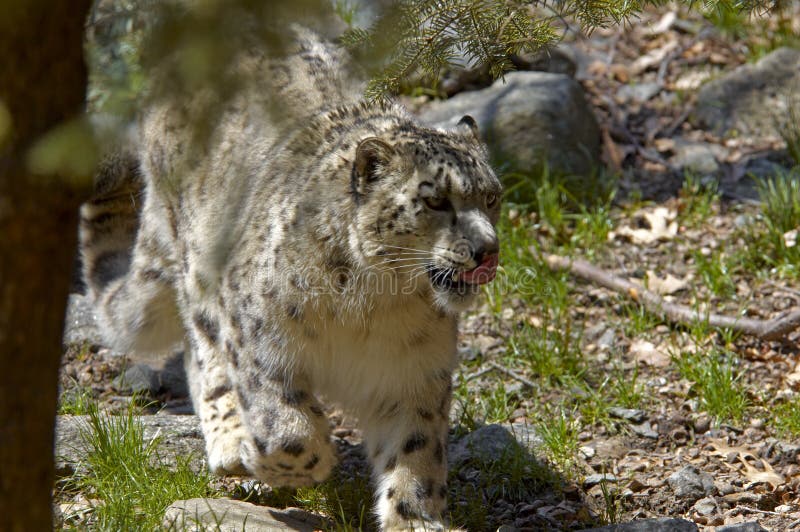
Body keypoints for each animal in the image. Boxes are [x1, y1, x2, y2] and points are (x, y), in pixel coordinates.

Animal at [80, 19, 501, 531]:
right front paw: (276, 458)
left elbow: (415, 452)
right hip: (198, 267)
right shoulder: (262, 341)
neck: (376, 305)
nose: (487, 250)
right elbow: (288, 430)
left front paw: (414, 518)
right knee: (202, 354)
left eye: (492, 197)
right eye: (436, 200)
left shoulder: (415, 374)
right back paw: (229, 440)